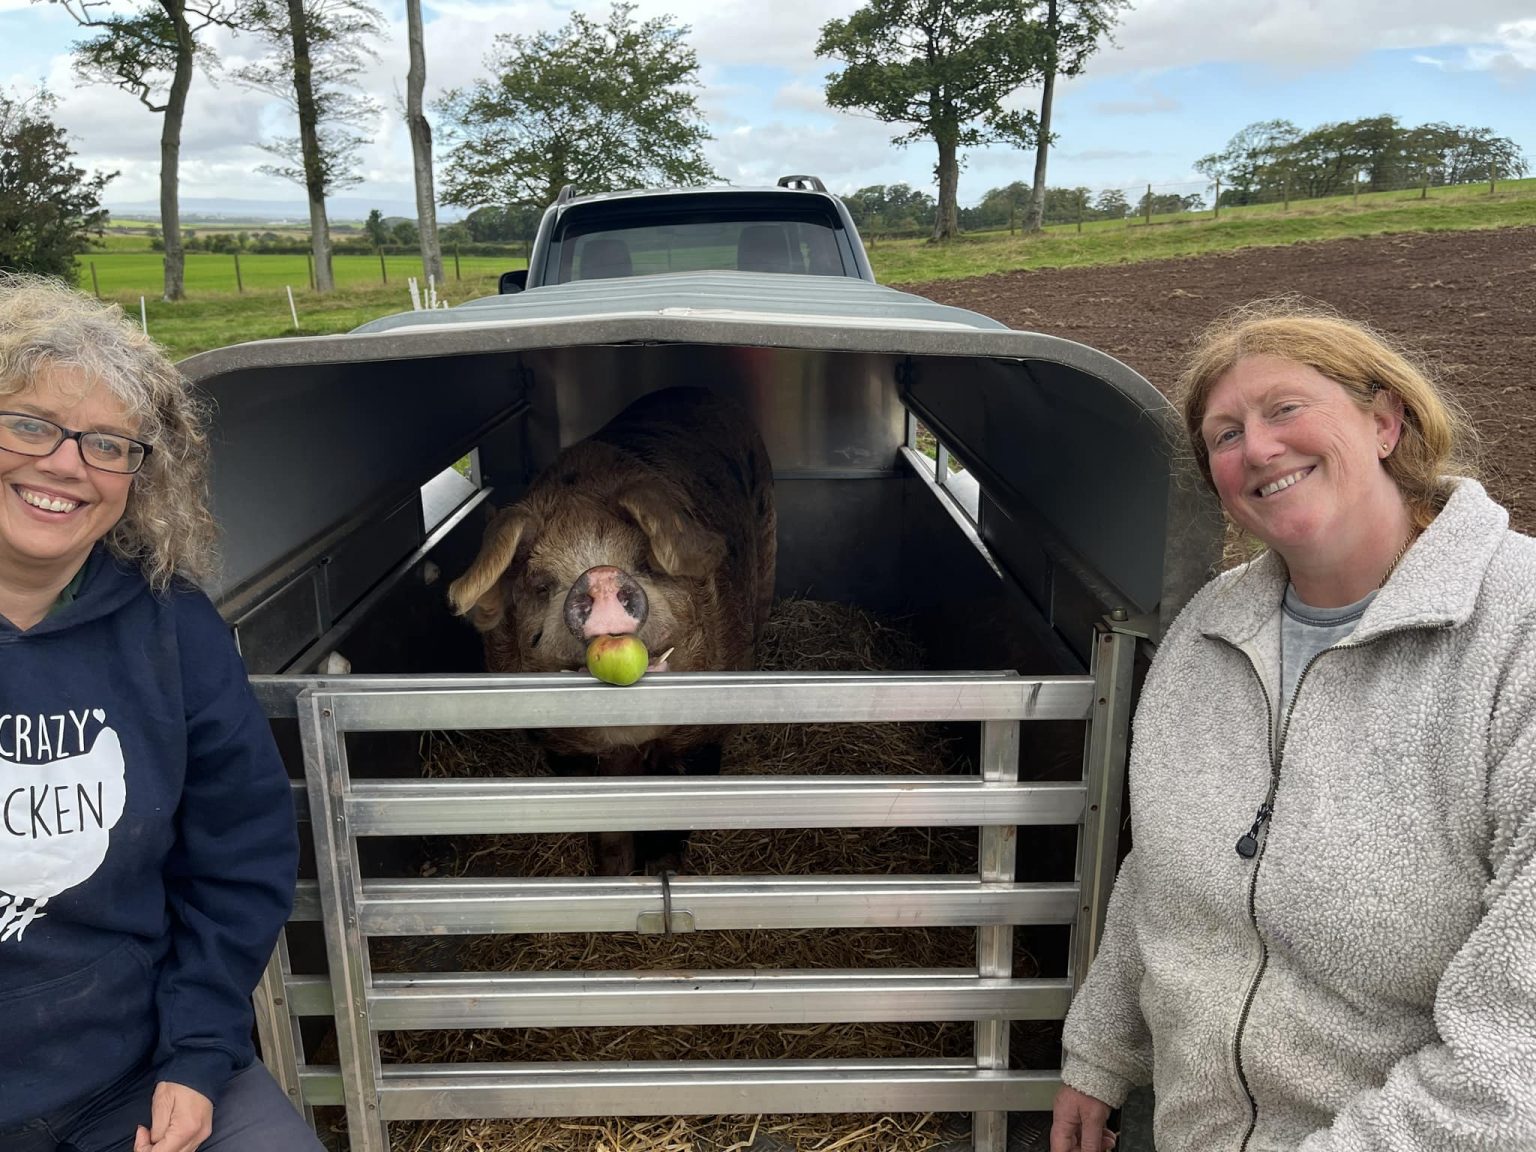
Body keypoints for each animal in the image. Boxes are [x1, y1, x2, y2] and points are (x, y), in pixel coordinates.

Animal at [447, 386, 776, 875]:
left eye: (644, 563)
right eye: (540, 585)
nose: (600, 575)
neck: (625, 739)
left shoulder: (701, 735)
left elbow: (674, 818)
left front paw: (664, 873)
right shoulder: (562, 750)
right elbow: (605, 823)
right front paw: (613, 875)